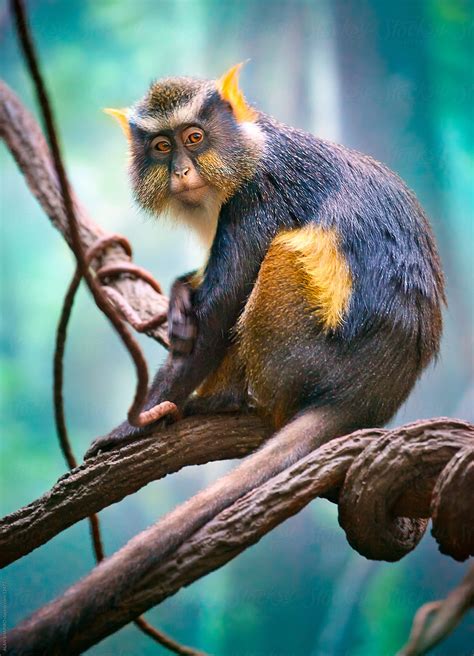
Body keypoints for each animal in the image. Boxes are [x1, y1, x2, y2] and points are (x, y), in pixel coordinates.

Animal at [85, 63, 444, 527]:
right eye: (162, 147)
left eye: (194, 138)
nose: (180, 171)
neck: (249, 150)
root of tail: (364, 396)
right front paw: (181, 294)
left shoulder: (256, 199)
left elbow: (217, 317)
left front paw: (130, 428)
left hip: (300, 361)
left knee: (282, 254)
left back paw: (225, 401)